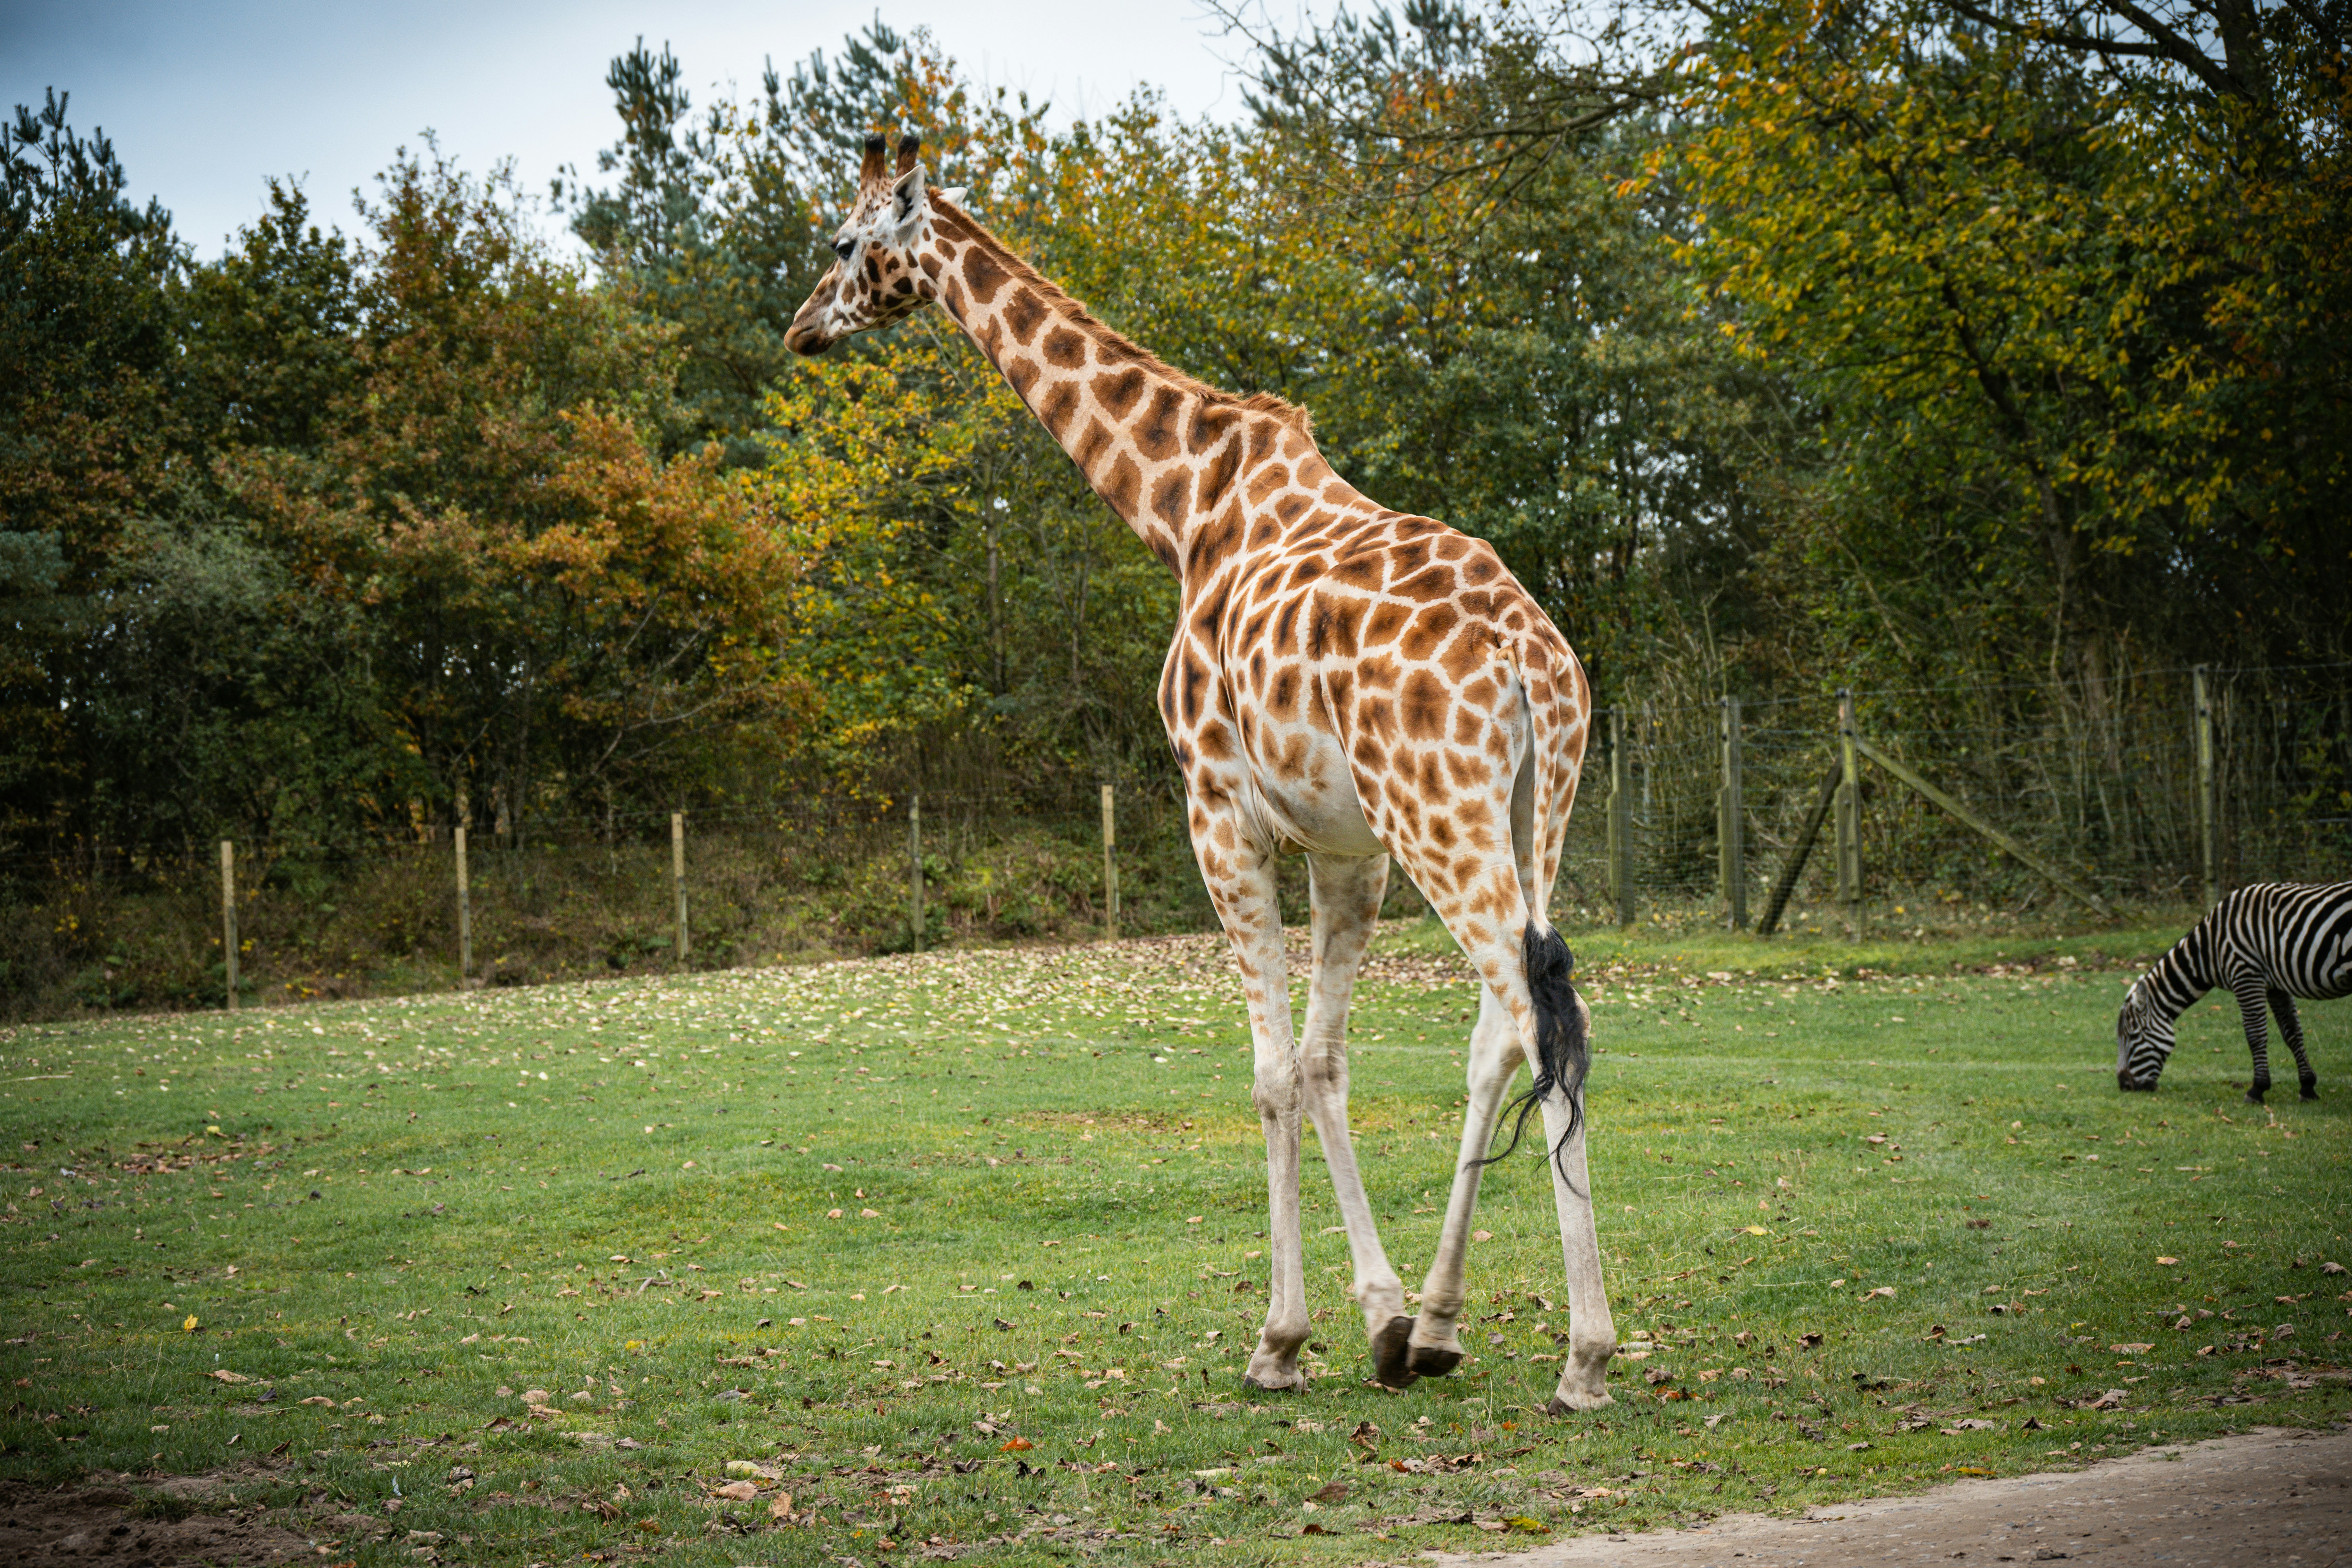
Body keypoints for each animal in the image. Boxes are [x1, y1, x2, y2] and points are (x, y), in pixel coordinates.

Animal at [786, 133, 1618, 1413]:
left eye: (842, 242)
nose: (800, 330)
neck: (1179, 509)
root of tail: (1526, 658)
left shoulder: (1217, 810)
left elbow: (1272, 1074)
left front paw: (1283, 1340)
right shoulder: (1345, 846)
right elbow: (1324, 1063)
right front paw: (1391, 1324)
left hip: (1441, 812)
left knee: (1537, 1029)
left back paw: (1586, 1355)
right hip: (1541, 808)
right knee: (1507, 1033)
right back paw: (1447, 1321)